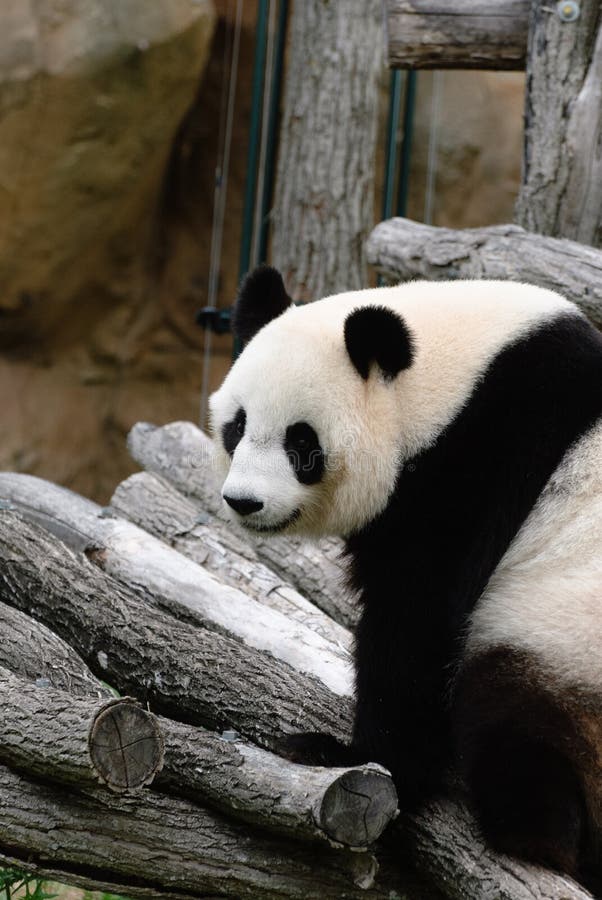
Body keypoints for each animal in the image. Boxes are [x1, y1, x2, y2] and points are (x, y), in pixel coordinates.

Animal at [210, 265, 602, 886]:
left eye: (302, 442)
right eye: (237, 426)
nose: (245, 501)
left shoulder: (481, 465)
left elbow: (419, 620)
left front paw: (349, 755)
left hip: (563, 638)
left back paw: (532, 829)